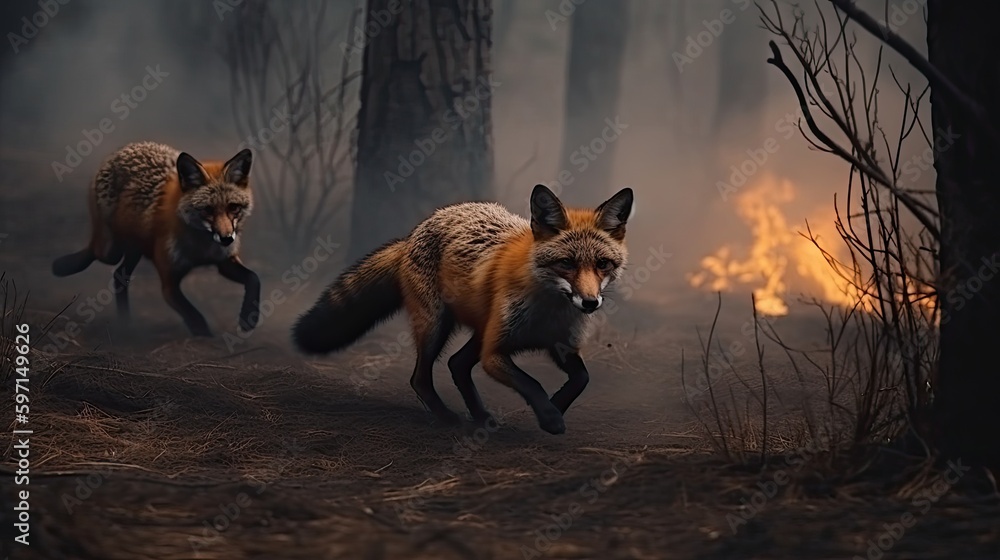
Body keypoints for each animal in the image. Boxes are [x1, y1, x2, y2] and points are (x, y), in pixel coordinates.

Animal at [51, 141, 261, 337]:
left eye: (233, 207)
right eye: (207, 210)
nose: (227, 239)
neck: (201, 249)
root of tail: (126, 148)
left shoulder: (224, 262)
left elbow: (253, 278)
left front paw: (249, 317)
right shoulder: (169, 282)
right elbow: (195, 317)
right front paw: (206, 338)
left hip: (134, 248)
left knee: (119, 276)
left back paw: (126, 322)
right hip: (110, 250)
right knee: (95, 251)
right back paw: (64, 265)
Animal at [292, 184, 634, 434]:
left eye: (603, 264)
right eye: (566, 263)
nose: (589, 302)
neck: (547, 312)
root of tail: (415, 231)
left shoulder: (561, 344)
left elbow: (582, 378)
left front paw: (557, 405)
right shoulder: (494, 353)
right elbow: (532, 384)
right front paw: (550, 417)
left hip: (475, 332)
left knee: (456, 364)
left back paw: (480, 416)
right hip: (436, 327)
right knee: (421, 378)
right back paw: (447, 417)